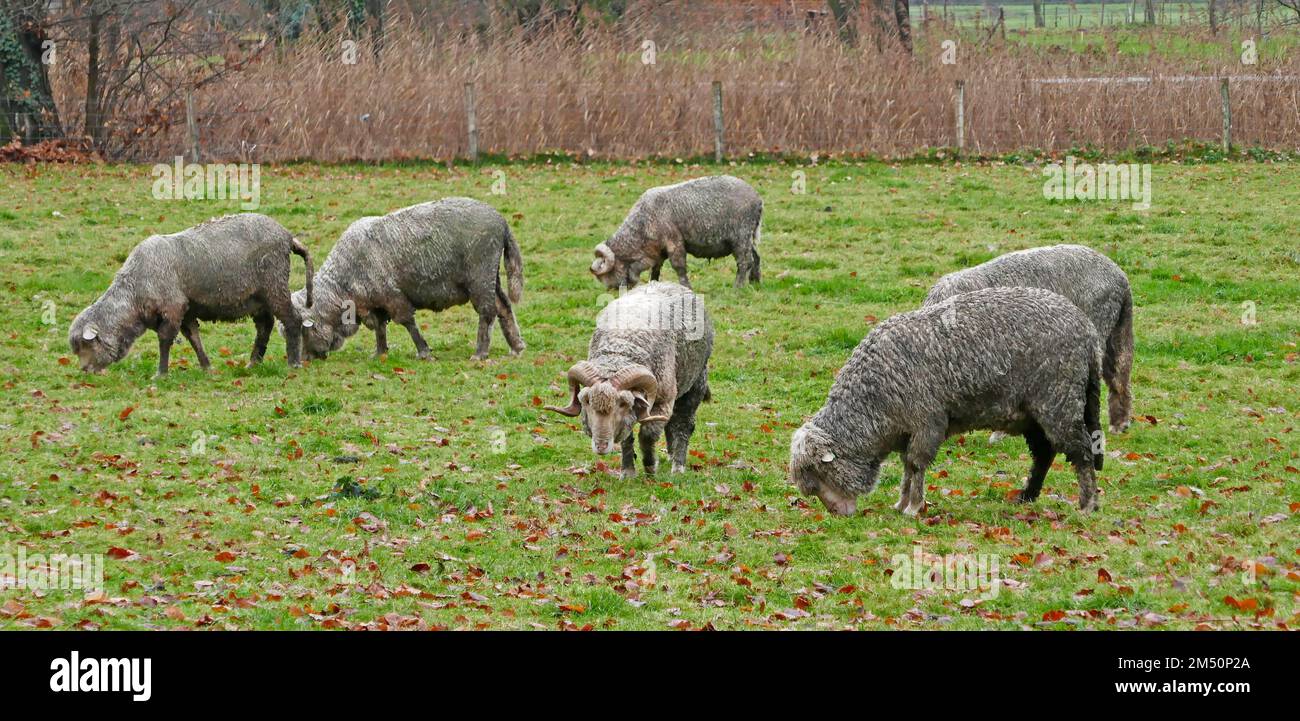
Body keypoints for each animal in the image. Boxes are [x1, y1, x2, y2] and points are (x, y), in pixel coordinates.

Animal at [68, 213, 313, 376]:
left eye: (85, 346)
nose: (85, 370)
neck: (134, 294)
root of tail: (288, 237)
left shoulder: (173, 307)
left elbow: (165, 339)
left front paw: (161, 374)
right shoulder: (185, 310)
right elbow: (194, 338)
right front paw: (206, 367)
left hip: (274, 285)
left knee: (293, 319)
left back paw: (293, 363)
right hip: (256, 298)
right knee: (265, 326)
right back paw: (253, 363)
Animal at [292, 198, 525, 361]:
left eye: (304, 328)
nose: (306, 359)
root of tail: (502, 222)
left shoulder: (393, 297)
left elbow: (407, 323)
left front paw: (424, 352)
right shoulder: (376, 302)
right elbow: (380, 329)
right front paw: (379, 353)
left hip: (480, 277)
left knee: (487, 311)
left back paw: (480, 353)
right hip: (490, 279)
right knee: (503, 306)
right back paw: (516, 347)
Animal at [544, 282, 714, 479]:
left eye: (623, 404)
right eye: (586, 402)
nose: (601, 446)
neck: (620, 349)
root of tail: (668, 283)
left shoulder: (662, 402)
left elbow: (647, 435)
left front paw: (650, 466)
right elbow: (627, 439)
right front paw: (628, 471)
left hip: (696, 381)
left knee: (684, 424)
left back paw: (678, 465)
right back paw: (671, 455)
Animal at [590, 175, 763, 290]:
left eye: (609, 272)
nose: (616, 290)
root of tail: (758, 199)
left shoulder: (674, 242)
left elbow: (679, 267)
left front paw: (687, 288)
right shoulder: (658, 250)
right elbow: (656, 269)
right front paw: (654, 285)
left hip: (741, 236)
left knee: (744, 262)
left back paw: (738, 288)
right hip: (749, 236)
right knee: (756, 258)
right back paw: (755, 282)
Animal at [789, 286, 1104, 517]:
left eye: (818, 476)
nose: (838, 514)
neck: (873, 405)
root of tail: (1088, 331)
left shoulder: (927, 423)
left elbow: (916, 465)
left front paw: (913, 507)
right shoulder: (908, 430)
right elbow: (907, 467)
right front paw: (901, 503)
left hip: (1059, 398)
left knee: (1081, 449)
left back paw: (1087, 504)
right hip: (1034, 412)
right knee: (1044, 453)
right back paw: (1027, 496)